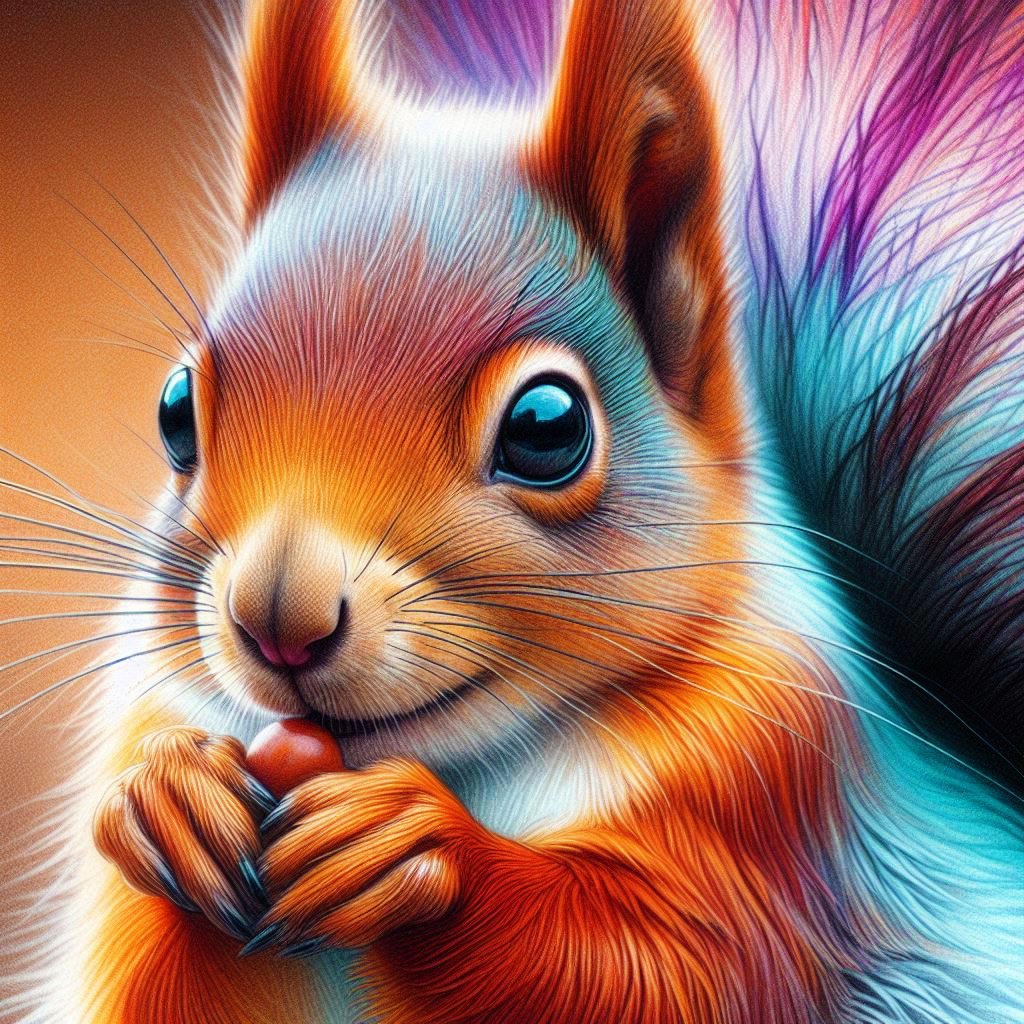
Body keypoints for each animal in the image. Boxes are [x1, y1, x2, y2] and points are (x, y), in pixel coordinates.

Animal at [5, 0, 1023, 1022]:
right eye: (175, 409)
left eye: (547, 426)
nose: (278, 618)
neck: (475, 763)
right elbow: (142, 984)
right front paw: (170, 799)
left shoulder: (777, 809)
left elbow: (671, 970)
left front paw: (415, 846)